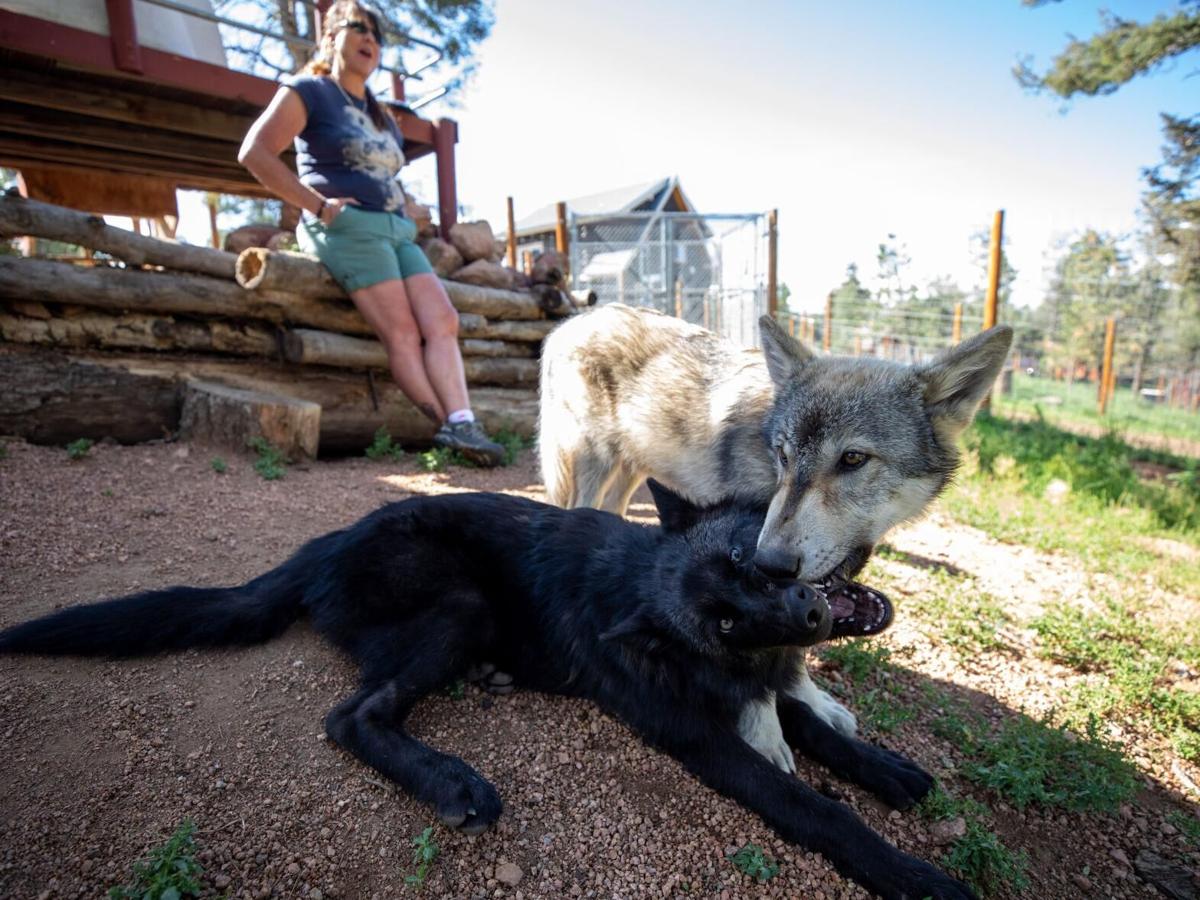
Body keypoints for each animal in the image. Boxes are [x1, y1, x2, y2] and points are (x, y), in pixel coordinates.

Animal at [0, 486, 974, 899]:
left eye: (749, 560)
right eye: (728, 619)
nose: (805, 610)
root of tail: (321, 545)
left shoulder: (760, 692)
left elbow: (821, 730)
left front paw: (887, 768)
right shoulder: (707, 740)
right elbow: (813, 808)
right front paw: (914, 874)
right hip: (459, 604)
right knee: (351, 715)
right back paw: (450, 780)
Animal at [539, 304, 1013, 748]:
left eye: (853, 459)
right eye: (783, 455)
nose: (771, 561)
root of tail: (575, 320)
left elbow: (799, 649)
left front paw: (815, 705)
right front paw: (767, 737)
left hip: (629, 474)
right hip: (593, 467)